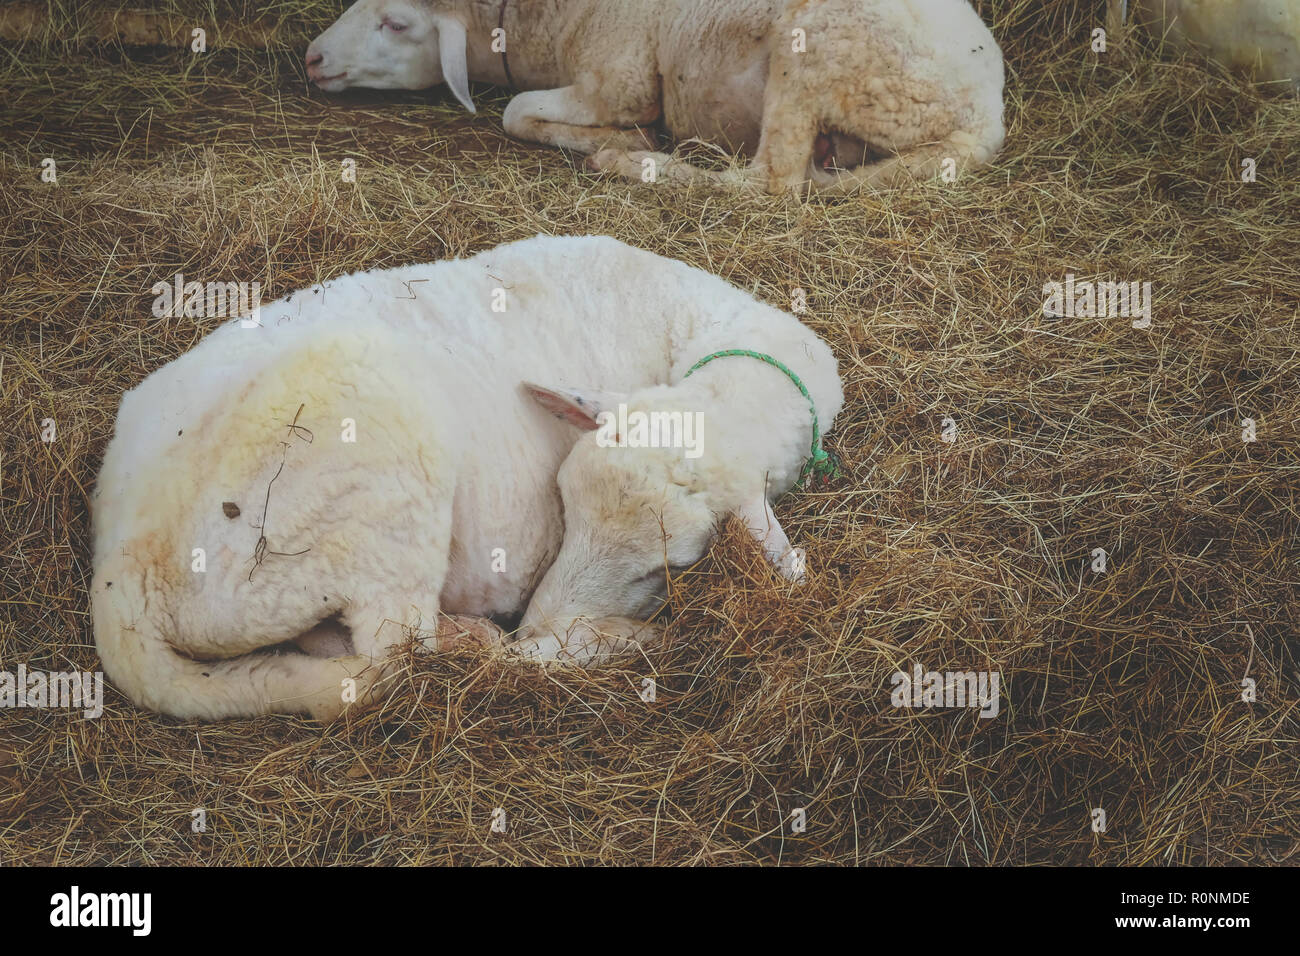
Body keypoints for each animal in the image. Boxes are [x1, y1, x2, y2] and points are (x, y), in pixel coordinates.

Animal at [91, 235, 843, 721]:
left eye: (672, 566)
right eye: (564, 506)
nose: (543, 619)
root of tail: (120, 573)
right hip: (370, 499)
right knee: (399, 654)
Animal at [305, 0, 1006, 193]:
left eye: (396, 24)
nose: (312, 58)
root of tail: (985, 116)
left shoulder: (620, 78)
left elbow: (514, 112)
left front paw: (626, 137)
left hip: (820, 49)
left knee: (771, 184)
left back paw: (633, 162)